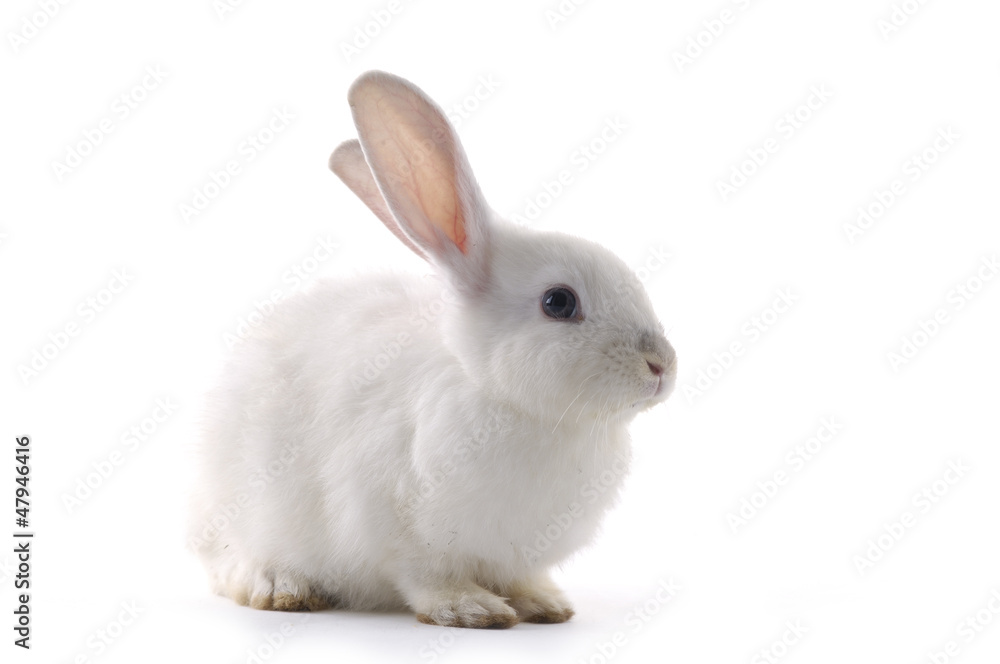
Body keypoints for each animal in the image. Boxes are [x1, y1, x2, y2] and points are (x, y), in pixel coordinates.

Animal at [187, 70, 676, 629]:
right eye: (559, 302)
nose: (662, 365)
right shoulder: (393, 526)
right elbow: (425, 578)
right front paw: (471, 609)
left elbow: (520, 579)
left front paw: (544, 604)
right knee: (231, 567)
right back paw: (282, 588)